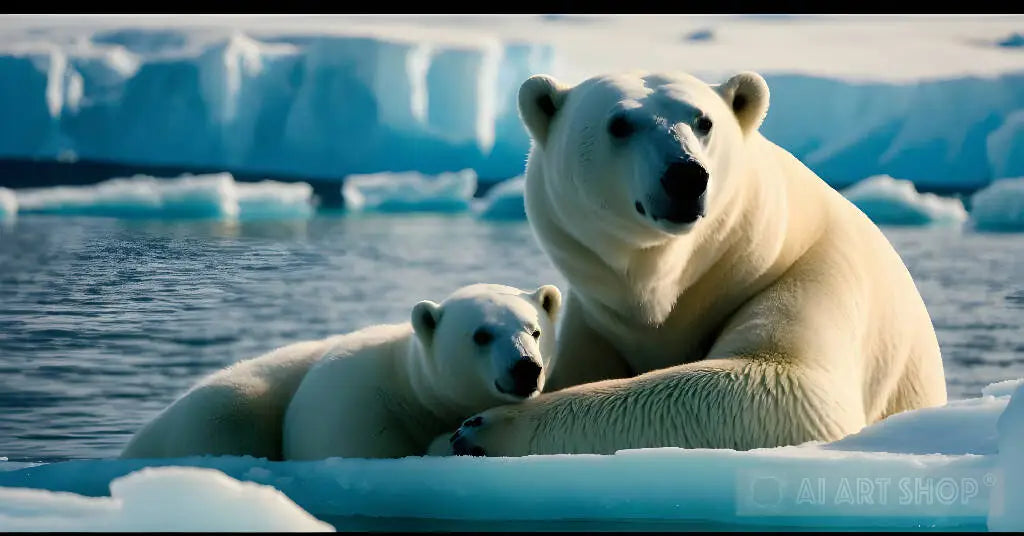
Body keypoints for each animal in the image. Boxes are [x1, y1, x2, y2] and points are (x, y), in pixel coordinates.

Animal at [120, 283, 561, 460]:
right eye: (481, 335)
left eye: (535, 330)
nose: (527, 368)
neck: (411, 391)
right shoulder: (354, 405)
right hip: (218, 417)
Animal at [439, 71, 948, 457]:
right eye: (619, 124)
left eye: (704, 121)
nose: (686, 175)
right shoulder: (599, 323)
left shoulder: (810, 272)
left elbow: (784, 385)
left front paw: (481, 427)